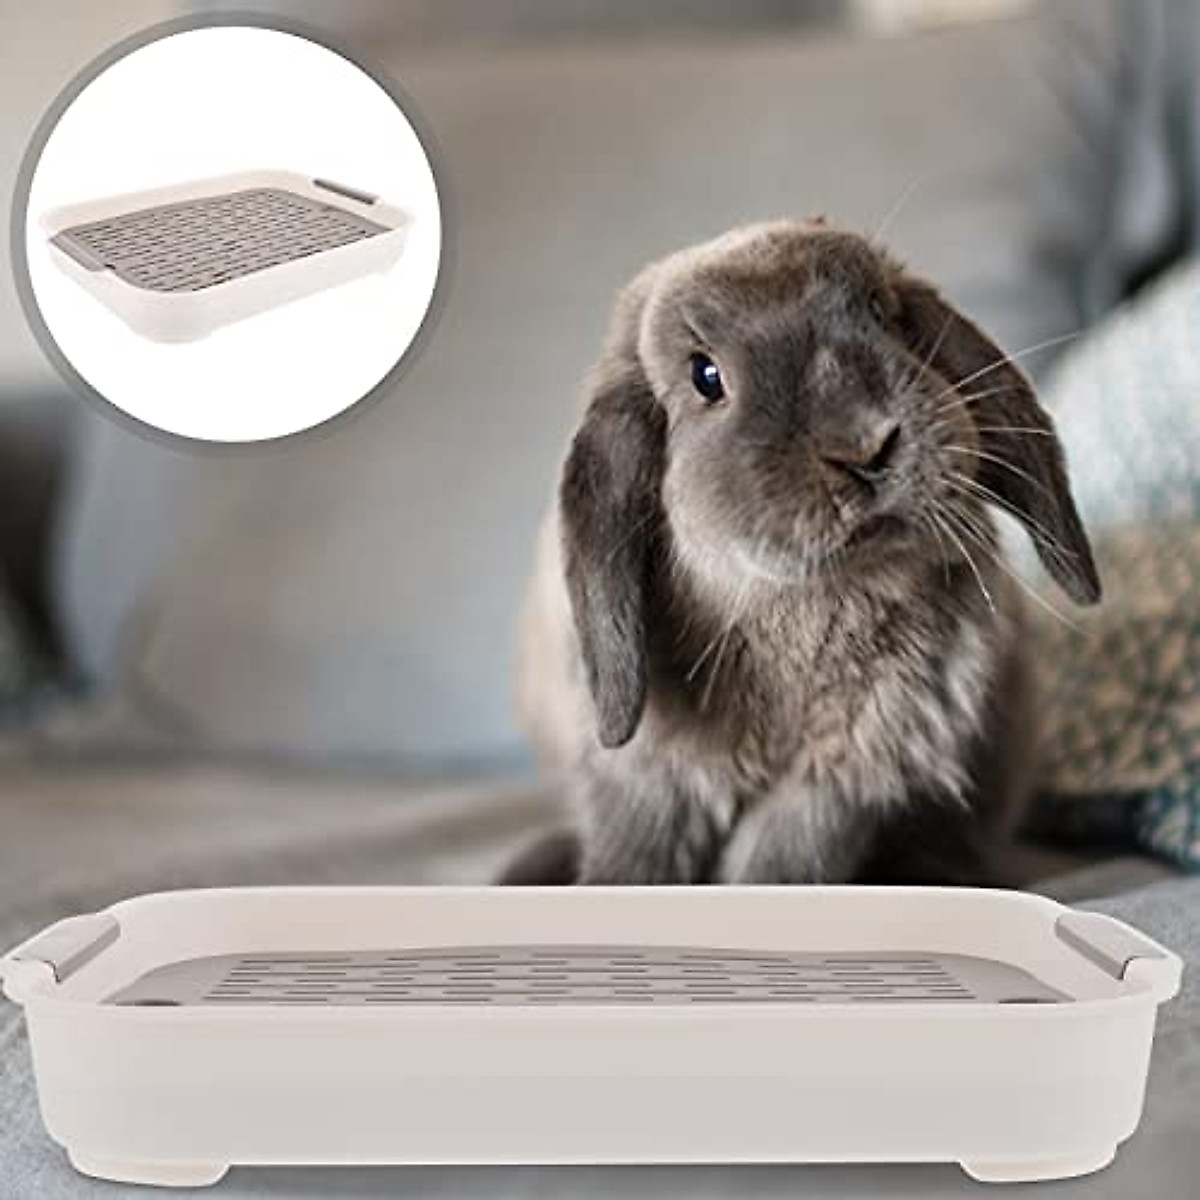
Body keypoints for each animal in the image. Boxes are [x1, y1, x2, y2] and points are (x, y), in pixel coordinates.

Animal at [502, 219, 1100, 887]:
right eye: (705, 376)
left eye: (882, 314)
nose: (865, 447)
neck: (801, 606)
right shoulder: (648, 779)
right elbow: (638, 853)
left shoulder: (841, 781)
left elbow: (781, 864)